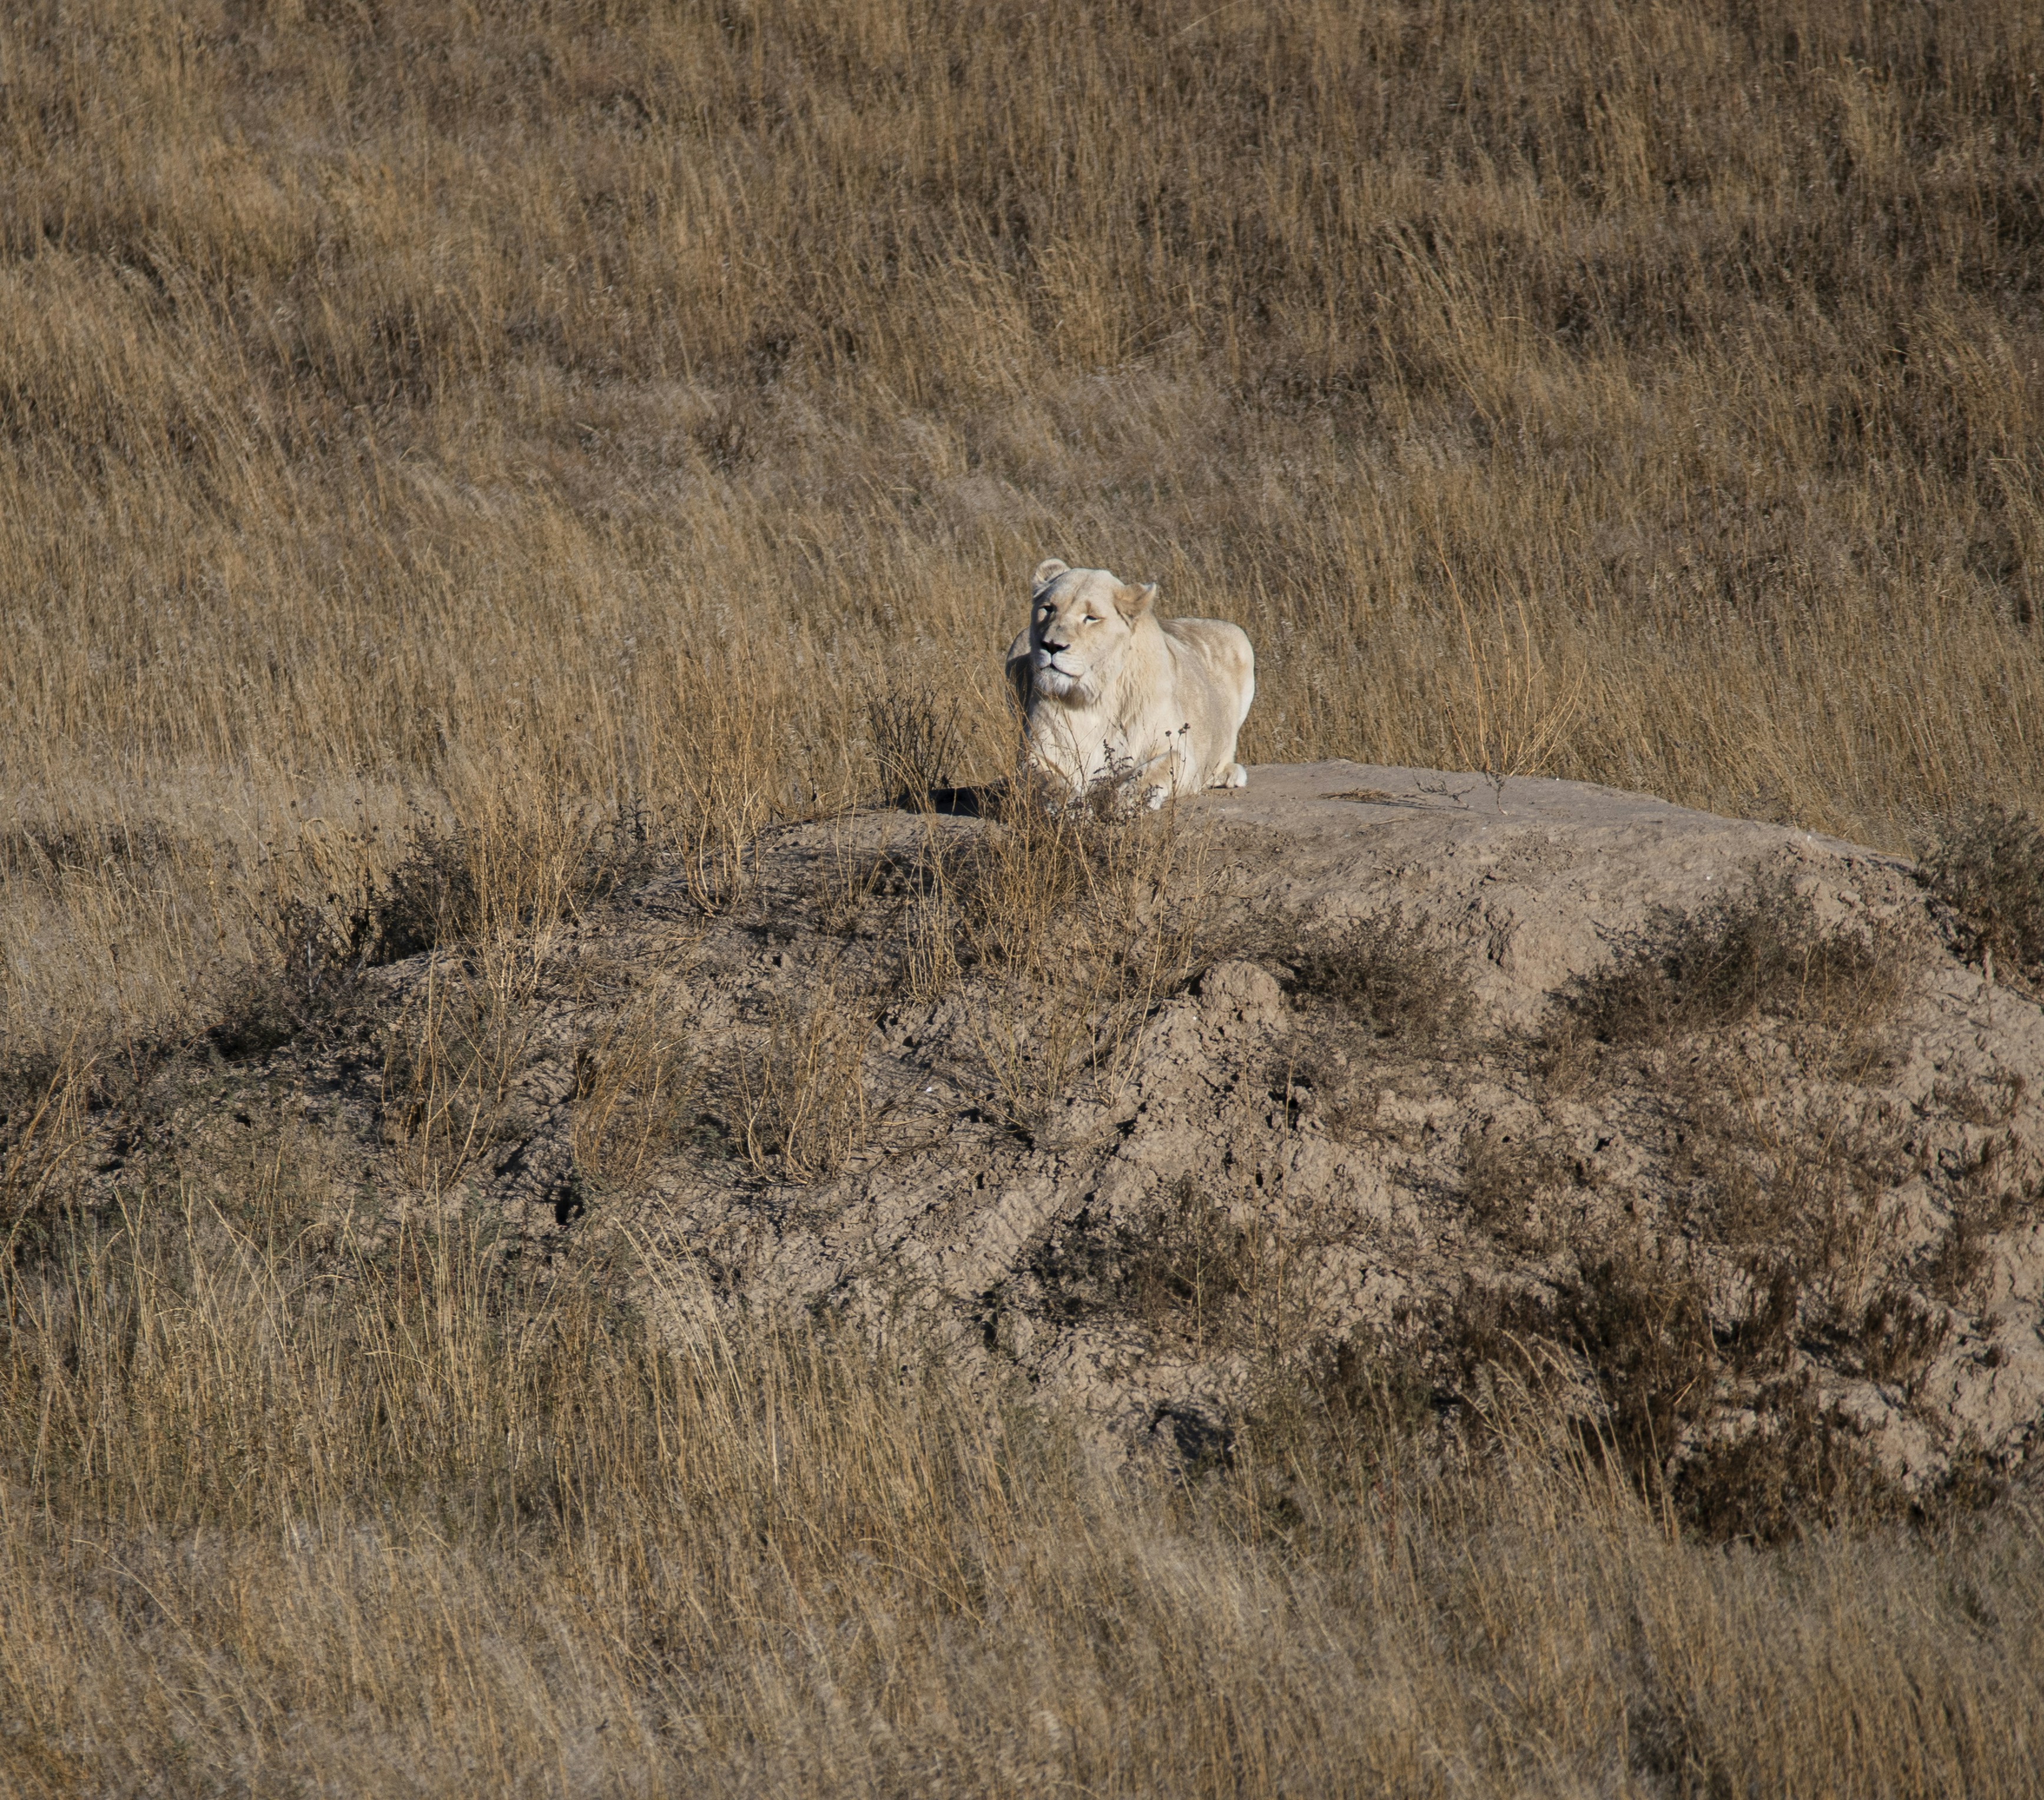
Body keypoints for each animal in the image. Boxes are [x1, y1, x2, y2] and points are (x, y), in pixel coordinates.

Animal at [1005, 559, 1255, 806]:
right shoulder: (1035, 755)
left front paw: (1127, 799)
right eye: (1048, 608)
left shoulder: (1182, 752)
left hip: (1240, 639)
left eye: (1091, 618)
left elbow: (1154, 771)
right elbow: (1047, 783)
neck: (1091, 698)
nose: (1051, 646)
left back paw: (1229, 774)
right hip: (1018, 642)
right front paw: (1072, 806)